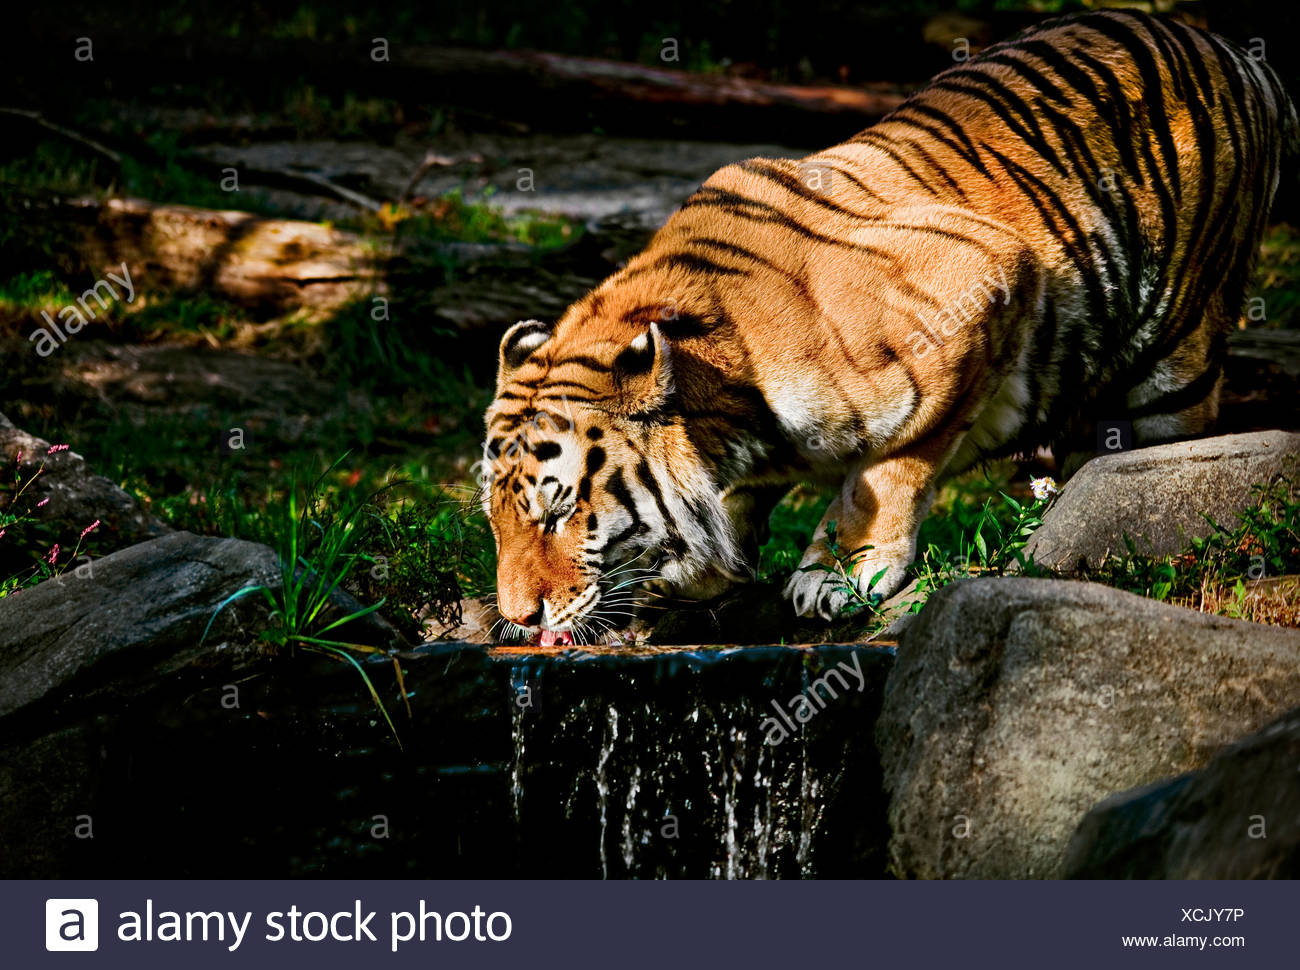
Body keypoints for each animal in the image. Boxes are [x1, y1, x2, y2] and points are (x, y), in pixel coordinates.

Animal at [480, 9, 1298, 642]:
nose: (519, 620)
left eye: (559, 512)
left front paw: (839, 573)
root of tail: (1232, 50)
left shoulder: (980, 284)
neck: (725, 402)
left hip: (1178, 357)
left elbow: (888, 467)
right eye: (494, 518)